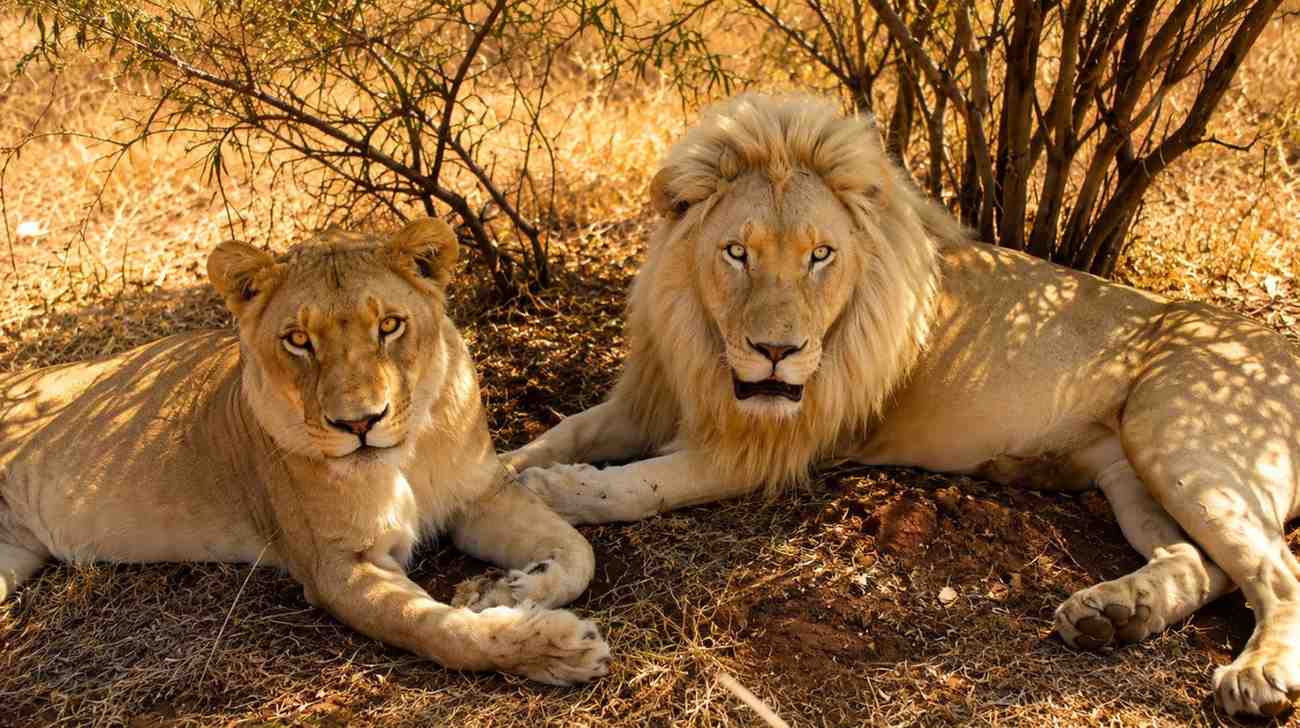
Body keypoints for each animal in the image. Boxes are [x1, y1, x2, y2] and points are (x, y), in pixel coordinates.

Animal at [0, 217, 609, 685]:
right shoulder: (337, 565)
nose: (359, 423)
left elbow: (579, 553)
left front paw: (507, 588)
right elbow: (435, 629)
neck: (406, 459)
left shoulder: (482, 494)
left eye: (389, 325)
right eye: (298, 340)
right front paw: (554, 648)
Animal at [506, 94, 1300, 716]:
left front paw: (556, 492)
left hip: (1179, 436)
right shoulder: (648, 402)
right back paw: (1114, 614)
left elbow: (643, 485)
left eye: (820, 255)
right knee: (1200, 561)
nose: (775, 351)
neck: (705, 345)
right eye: (736, 252)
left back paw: (1256, 676)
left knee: (1276, 570)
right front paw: (504, 474)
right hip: (1130, 468)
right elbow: (559, 434)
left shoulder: (771, 447)